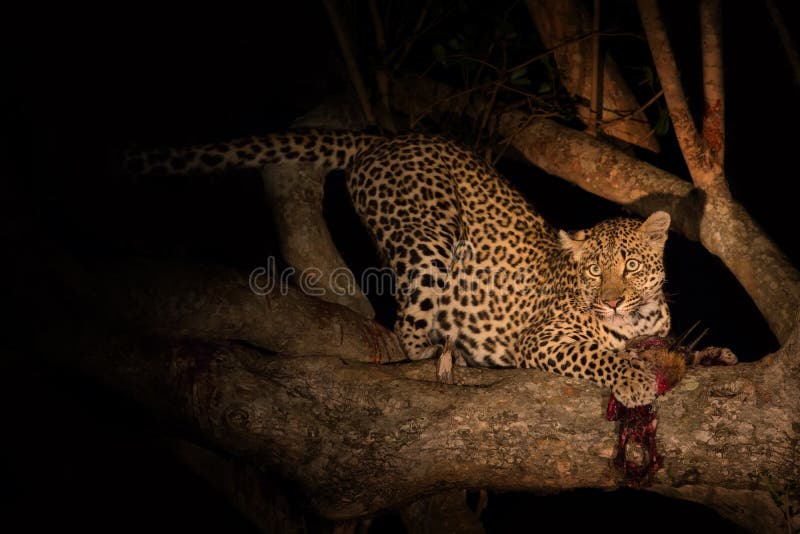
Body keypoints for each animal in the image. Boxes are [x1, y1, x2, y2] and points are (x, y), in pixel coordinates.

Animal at [124, 129, 688, 407]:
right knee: (407, 333)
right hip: (429, 242)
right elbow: (598, 355)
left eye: (630, 265)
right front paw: (633, 378)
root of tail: (383, 142)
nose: (611, 300)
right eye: (594, 271)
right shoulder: (542, 338)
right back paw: (444, 356)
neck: (634, 319)